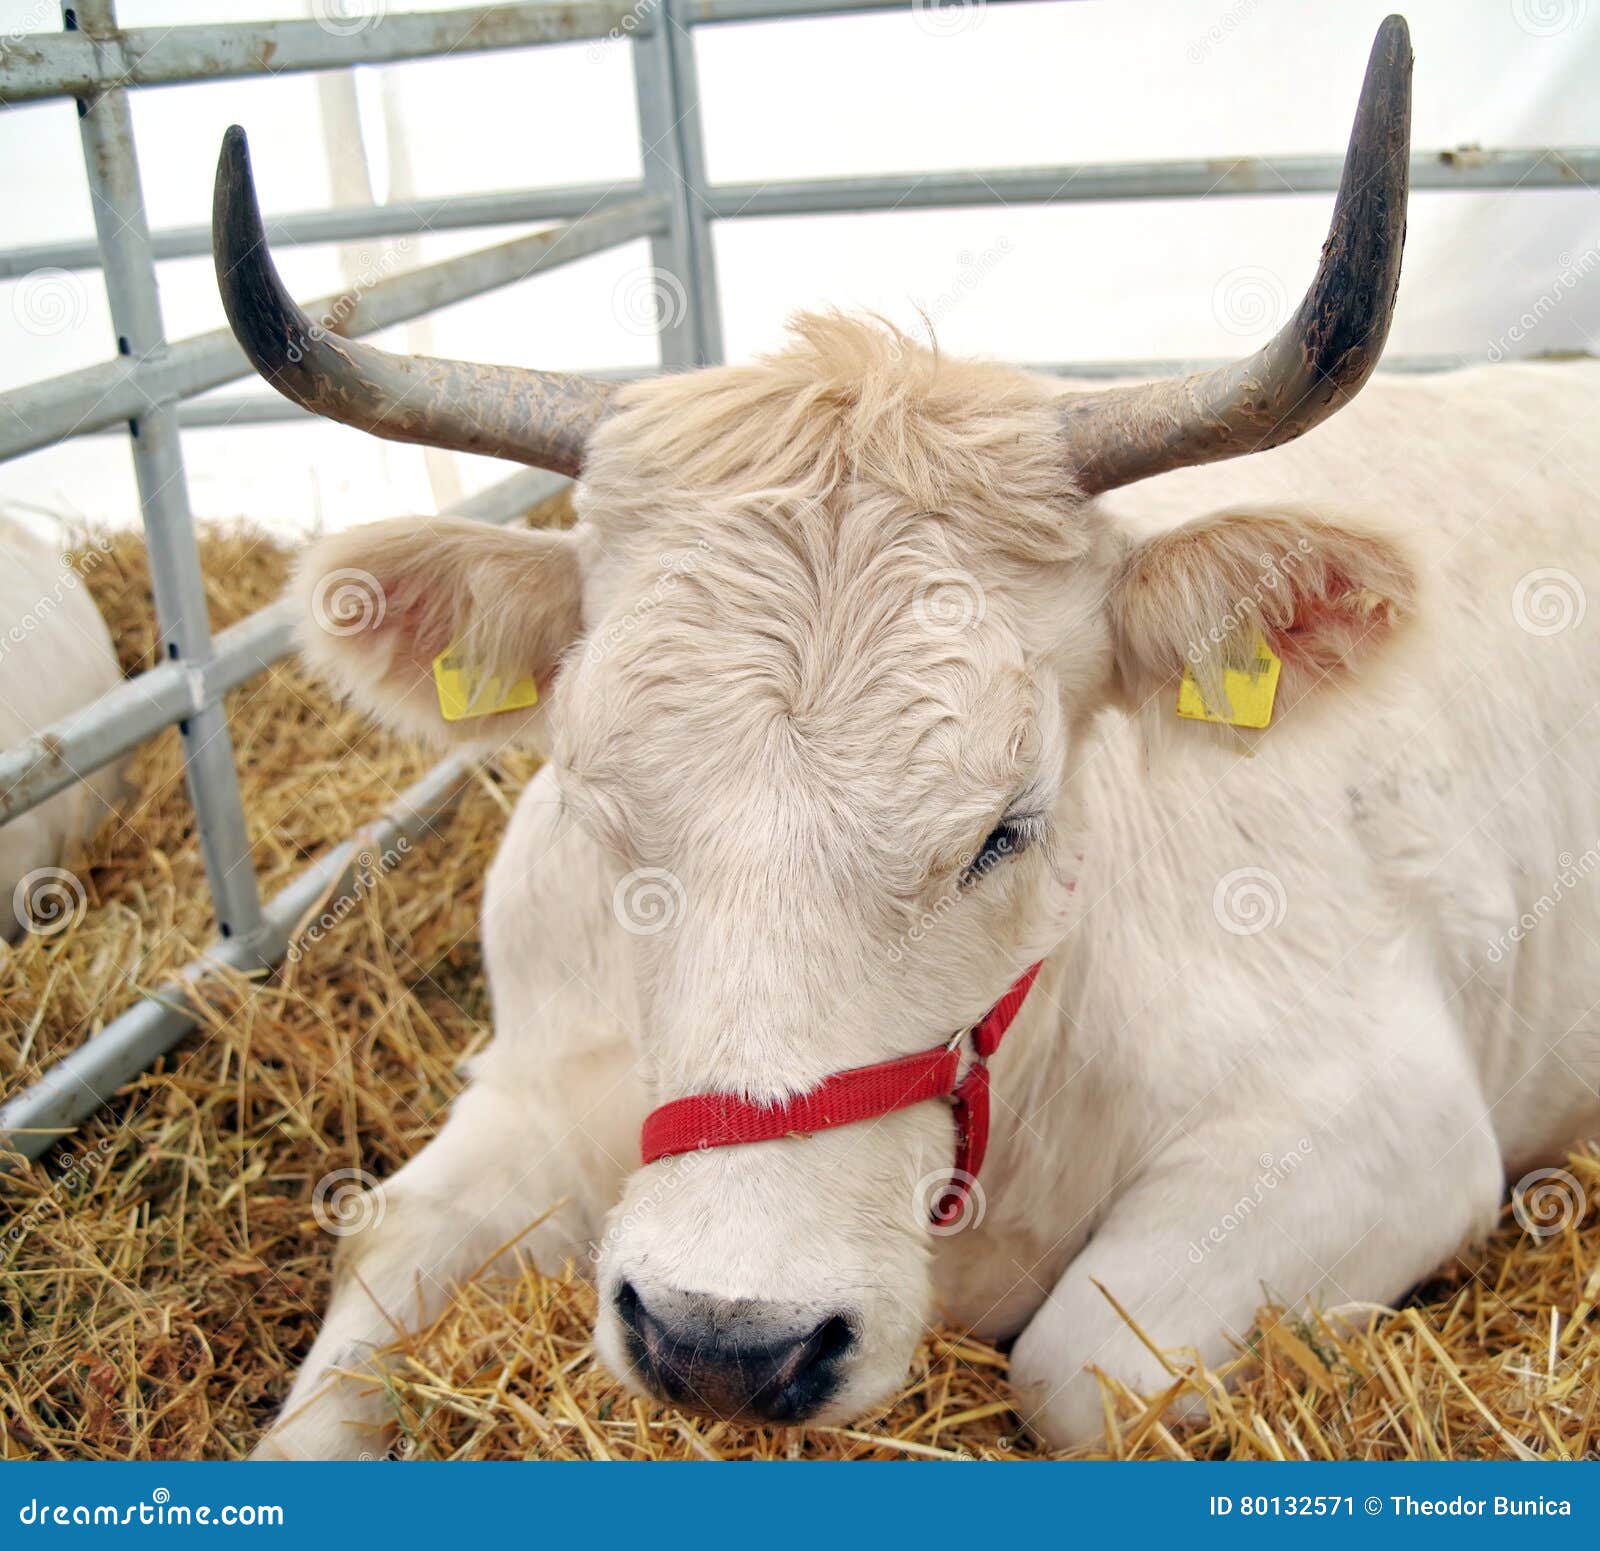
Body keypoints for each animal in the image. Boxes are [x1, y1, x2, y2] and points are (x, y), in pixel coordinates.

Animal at [216, 16, 1600, 1458]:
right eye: (598, 807)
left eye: (1008, 828)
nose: (726, 1343)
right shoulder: (532, 1078)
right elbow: (390, 1241)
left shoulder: (1388, 1131)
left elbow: (1085, 1370)